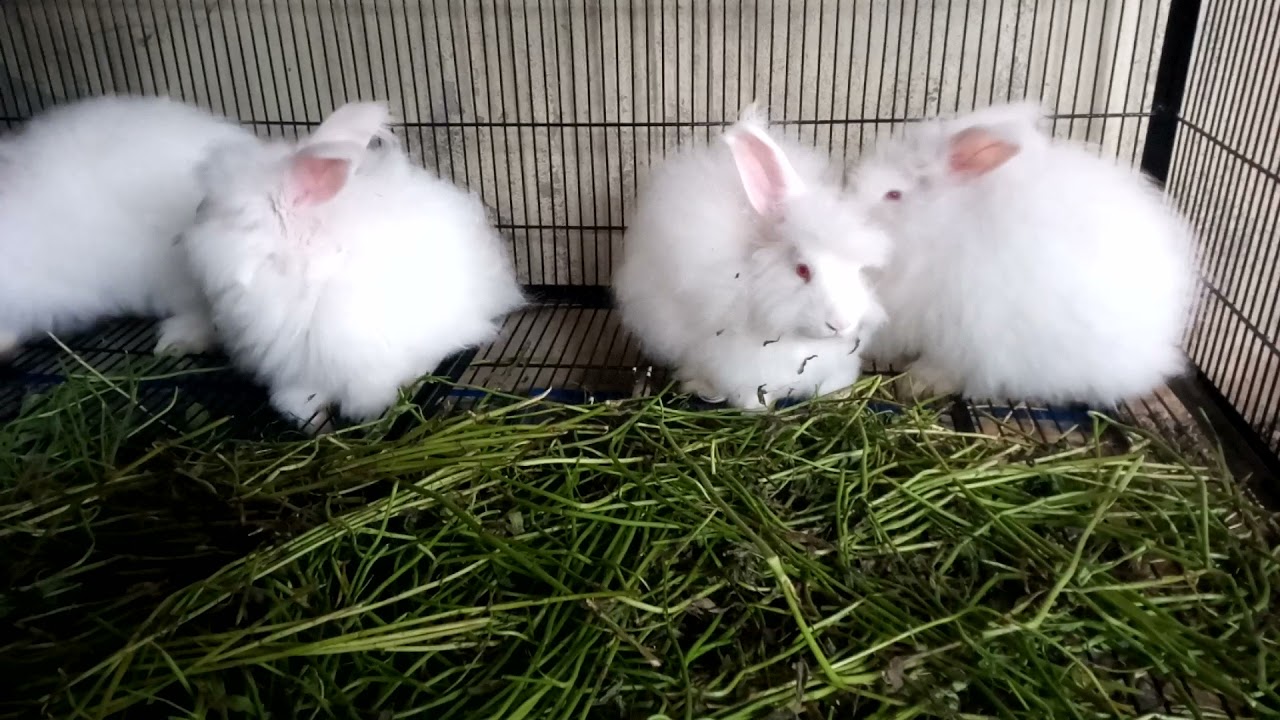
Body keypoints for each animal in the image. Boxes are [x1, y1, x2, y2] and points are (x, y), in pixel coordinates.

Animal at [180, 102, 525, 432]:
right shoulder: (297, 374)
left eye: (238, 219)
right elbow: (300, 405)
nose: (195, 216)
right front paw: (319, 428)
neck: (307, 270)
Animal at [614, 106, 891, 410]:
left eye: (858, 271)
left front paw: (838, 399)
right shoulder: (743, 372)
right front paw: (759, 410)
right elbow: (752, 399)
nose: (841, 324)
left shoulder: (837, 368)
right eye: (802, 270)